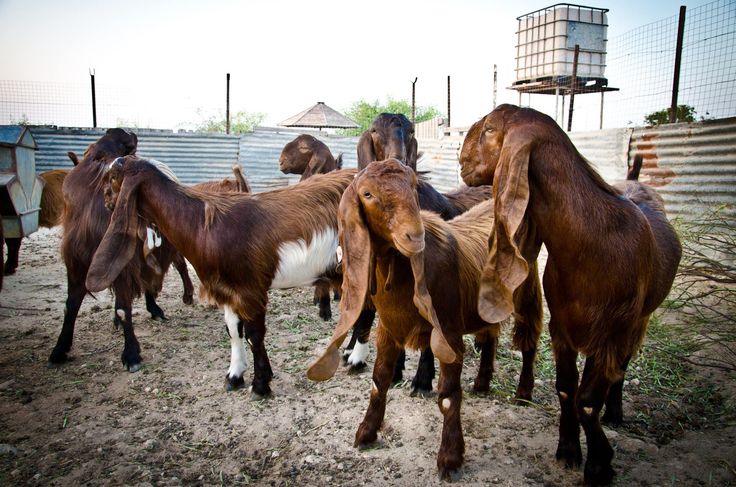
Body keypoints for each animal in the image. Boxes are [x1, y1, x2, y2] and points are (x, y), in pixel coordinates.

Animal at [48, 128, 193, 372]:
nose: (127, 133)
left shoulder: (124, 266)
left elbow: (124, 309)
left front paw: (131, 354)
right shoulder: (77, 263)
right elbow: (70, 306)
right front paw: (59, 350)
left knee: (178, 266)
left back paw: (183, 297)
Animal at [85, 155, 357, 397]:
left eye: (113, 177)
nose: (106, 202)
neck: (203, 225)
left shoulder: (249, 289)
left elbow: (254, 336)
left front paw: (260, 386)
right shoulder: (227, 289)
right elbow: (233, 331)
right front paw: (235, 376)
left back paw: (355, 358)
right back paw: (349, 354)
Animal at [308, 159, 542, 478]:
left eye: (414, 186)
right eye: (367, 194)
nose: (414, 236)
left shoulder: (448, 332)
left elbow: (448, 395)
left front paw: (450, 459)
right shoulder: (388, 329)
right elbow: (379, 380)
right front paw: (366, 433)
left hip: (528, 294)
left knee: (529, 341)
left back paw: (523, 392)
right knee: (489, 334)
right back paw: (482, 382)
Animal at [459, 104, 681, 485]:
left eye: (489, 129)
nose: (460, 159)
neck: (589, 242)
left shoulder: (610, 334)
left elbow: (588, 400)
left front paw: (600, 465)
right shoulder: (561, 329)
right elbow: (566, 388)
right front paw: (568, 451)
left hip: (639, 320)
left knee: (622, 367)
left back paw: (616, 412)